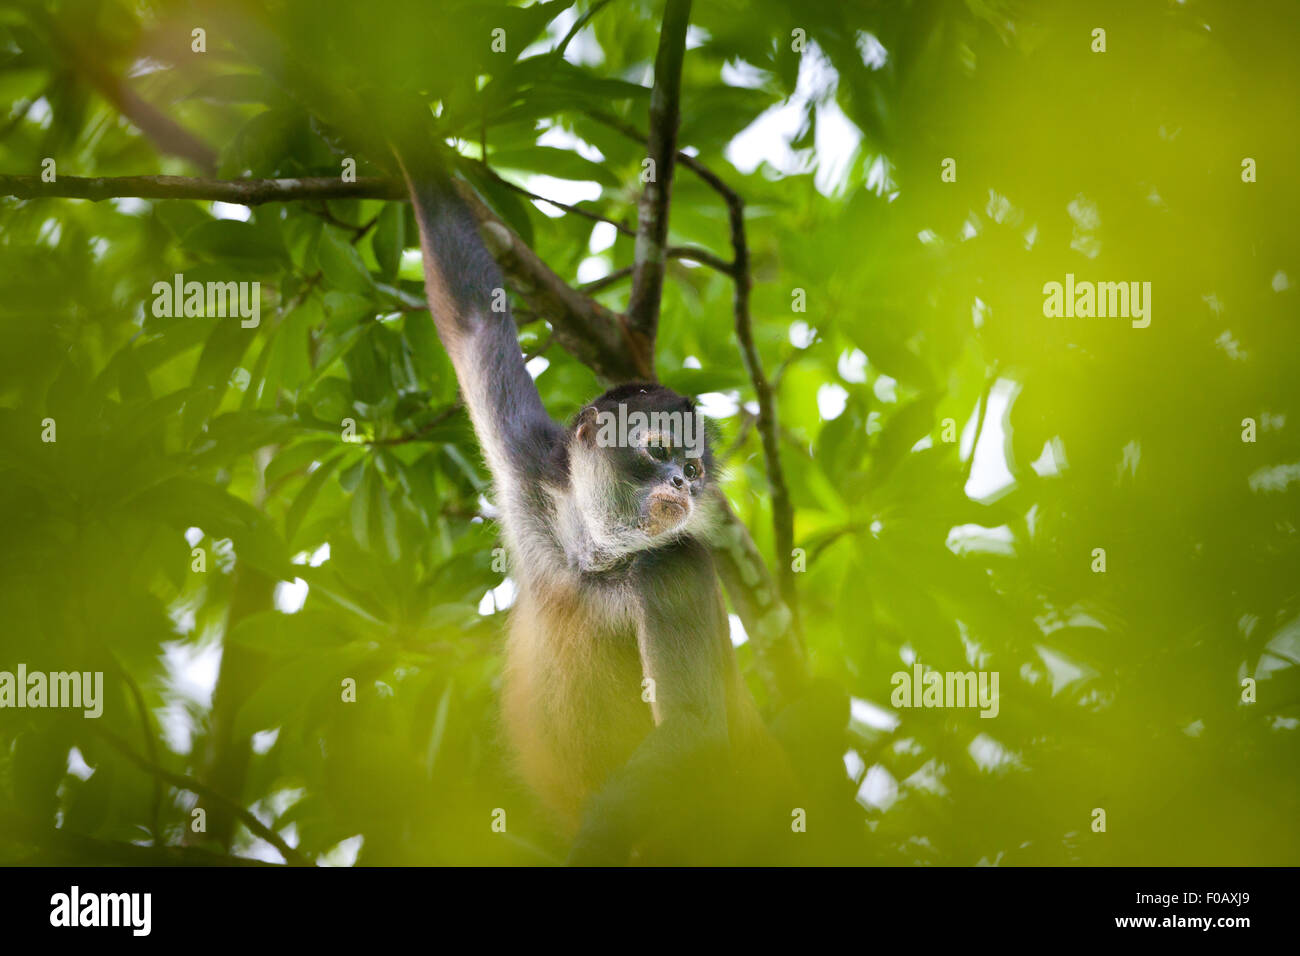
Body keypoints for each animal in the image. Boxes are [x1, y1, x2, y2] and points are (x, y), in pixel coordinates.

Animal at [393, 140, 800, 865]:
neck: (593, 560)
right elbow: (471, 318)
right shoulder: (530, 470)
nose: (680, 486)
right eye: (658, 452)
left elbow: (692, 731)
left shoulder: (675, 564)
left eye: (693, 469)